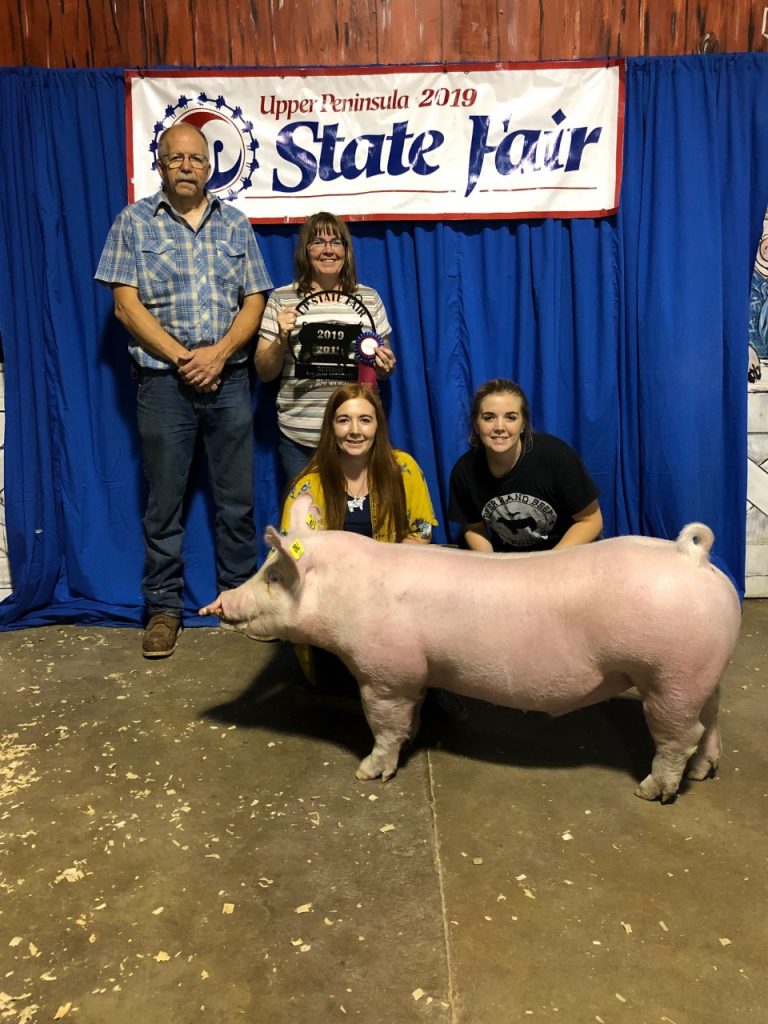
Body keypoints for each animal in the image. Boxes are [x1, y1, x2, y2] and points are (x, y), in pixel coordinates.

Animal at [201, 492, 742, 802]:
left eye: (273, 576)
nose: (219, 602)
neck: (345, 592)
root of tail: (693, 556)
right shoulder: (414, 673)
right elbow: (410, 717)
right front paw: (412, 742)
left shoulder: (384, 671)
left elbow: (383, 724)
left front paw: (368, 773)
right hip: (701, 674)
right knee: (712, 717)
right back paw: (705, 774)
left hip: (669, 677)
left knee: (681, 735)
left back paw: (652, 792)